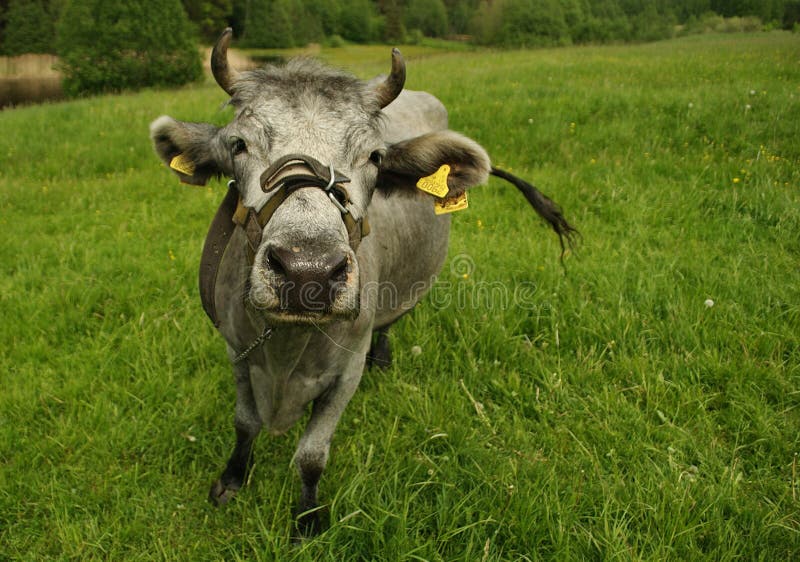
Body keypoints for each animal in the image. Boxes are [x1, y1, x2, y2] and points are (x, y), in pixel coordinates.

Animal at [150, 28, 576, 537]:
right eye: (238, 145)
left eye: (374, 156)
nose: (307, 271)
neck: (286, 354)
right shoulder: (237, 352)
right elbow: (244, 423)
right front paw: (232, 479)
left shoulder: (345, 374)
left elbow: (311, 456)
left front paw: (308, 519)